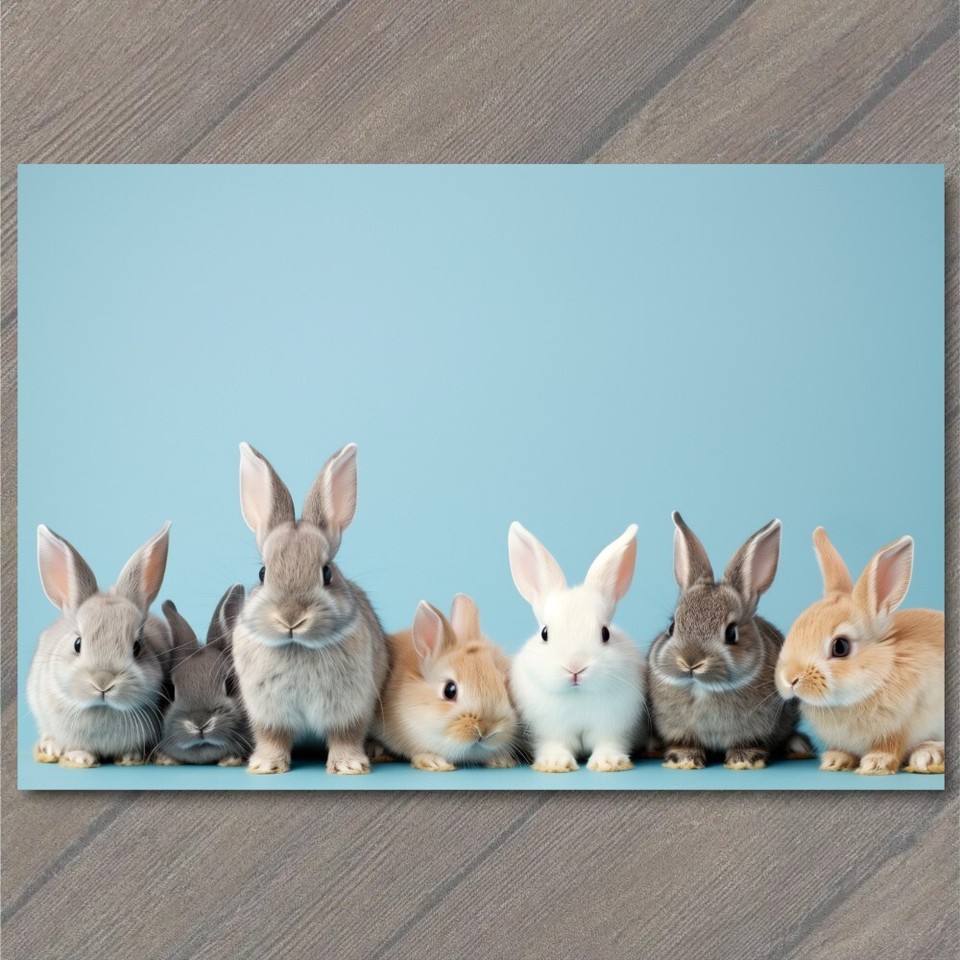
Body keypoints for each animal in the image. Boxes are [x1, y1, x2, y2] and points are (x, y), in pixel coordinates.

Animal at [232, 441, 390, 774]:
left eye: (327, 573)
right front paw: (265, 766)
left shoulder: (351, 708)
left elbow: (345, 734)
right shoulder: (268, 712)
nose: (291, 617)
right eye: (263, 573)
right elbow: (273, 737)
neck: (298, 647)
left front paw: (349, 766)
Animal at [508, 522, 646, 773]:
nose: (575, 668)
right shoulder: (548, 732)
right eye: (545, 633)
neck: (578, 695)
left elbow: (609, 743)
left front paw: (609, 762)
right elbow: (554, 745)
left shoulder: (614, 728)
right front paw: (555, 764)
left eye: (605, 633)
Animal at [647, 512, 812, 771]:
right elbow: (684, 743)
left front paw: (745, 760)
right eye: (672, 626)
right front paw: (683, 759)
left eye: (731, 633)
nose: (690, 661)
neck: (703, 688)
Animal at [775, 527, 945, 775]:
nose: (790, 679)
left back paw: (928, 755)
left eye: (840, 647)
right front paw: (834, 760)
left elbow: (891, 745)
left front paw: (875, 764)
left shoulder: (899, 725)